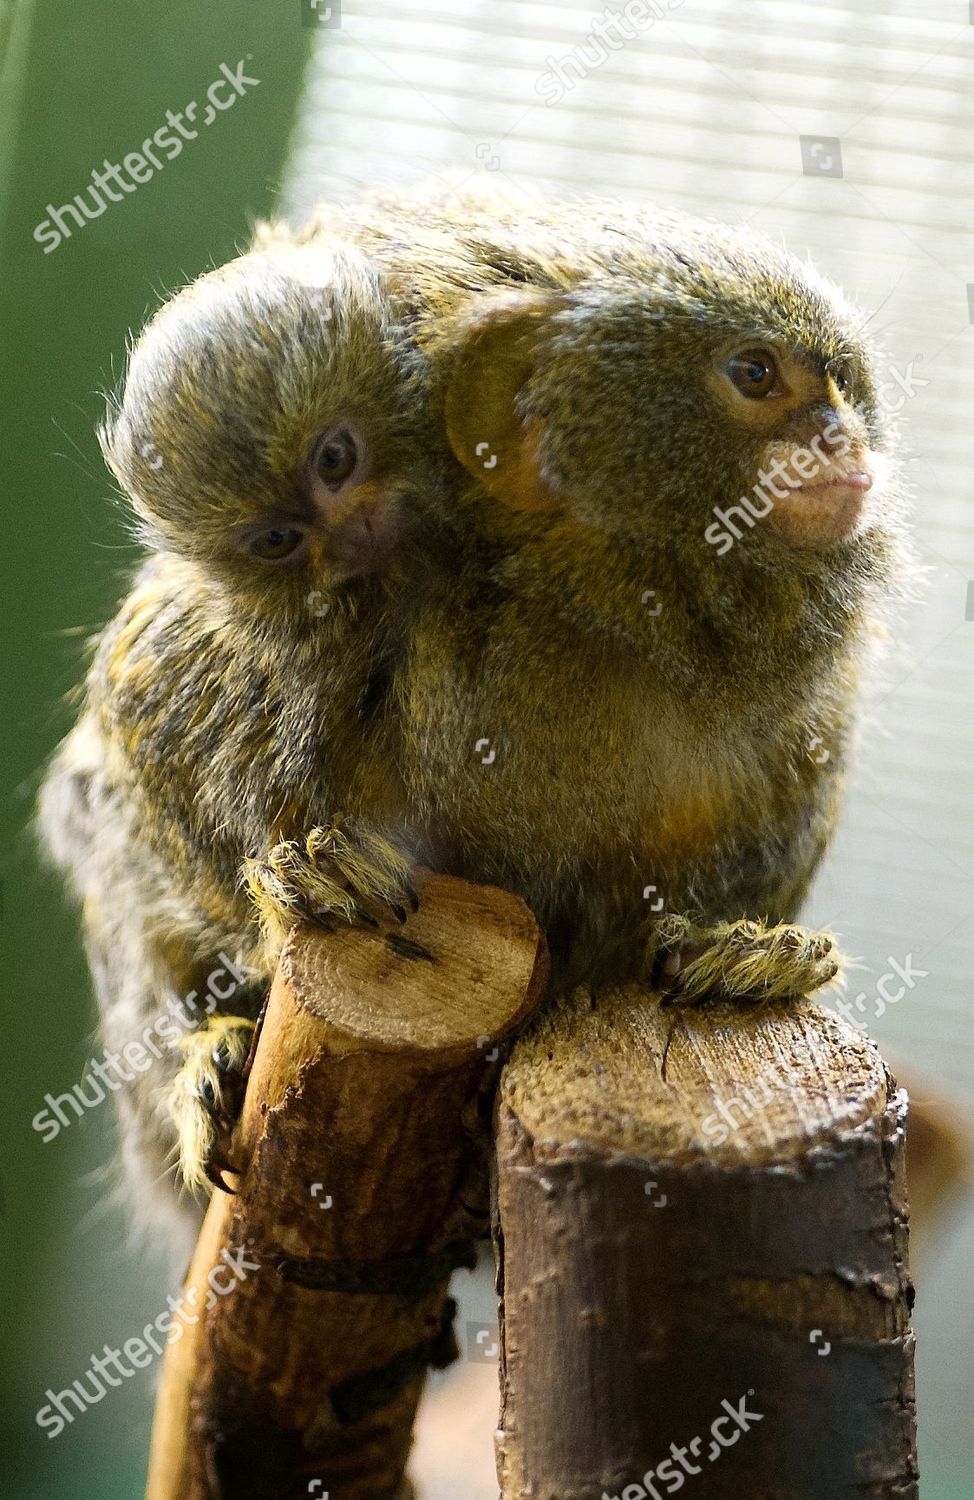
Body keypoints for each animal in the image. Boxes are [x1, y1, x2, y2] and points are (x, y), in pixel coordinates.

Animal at [39, 195, 907, 1240]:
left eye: (840, 378)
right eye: (754, 374)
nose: (843, 436)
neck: (590, 610)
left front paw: (750, 955)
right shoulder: (246, 648)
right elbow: (120, 798)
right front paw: (298, 887)